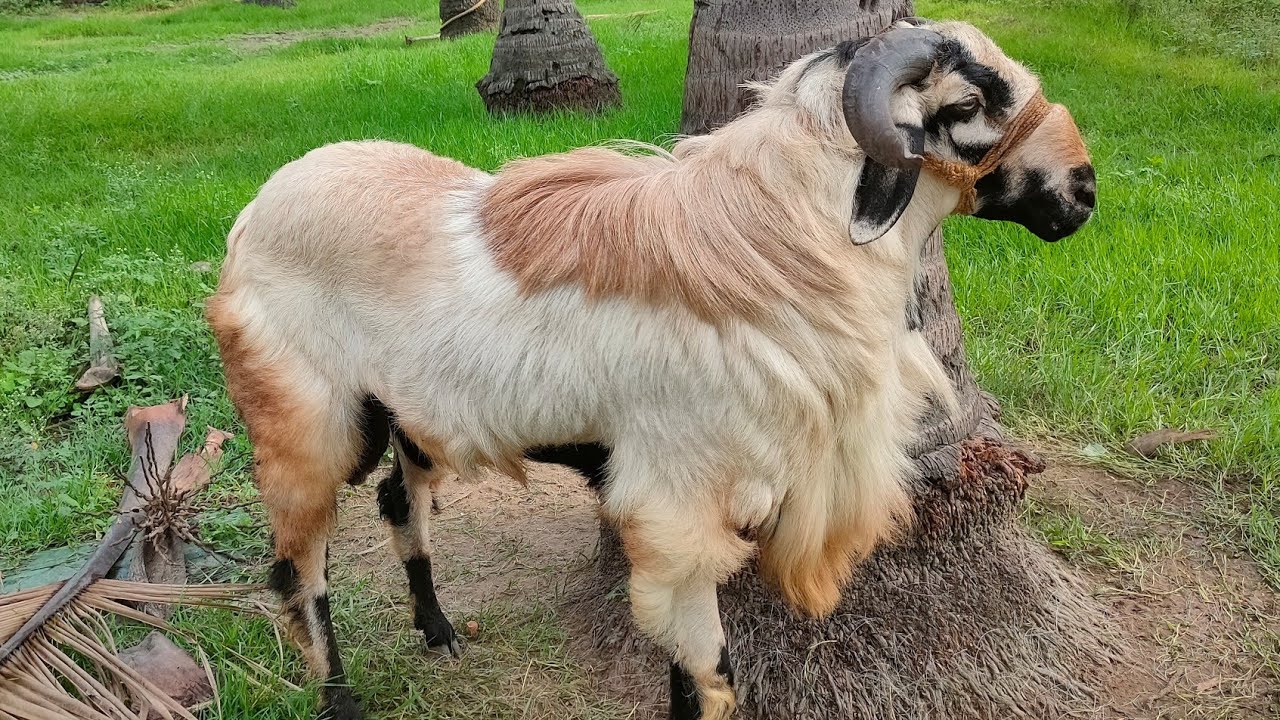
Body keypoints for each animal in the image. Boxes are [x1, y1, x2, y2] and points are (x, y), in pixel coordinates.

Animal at [207, 19, 1094, 720]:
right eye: (968, 107)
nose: (1083, 190)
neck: (779, 241)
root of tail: (258, 208)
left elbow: (689, 671)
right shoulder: (674, 511)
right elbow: (708, 673)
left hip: (413, 418)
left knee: (399, 501)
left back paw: (440, 631)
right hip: (305, 423)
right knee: (300, 569)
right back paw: (341, 699)